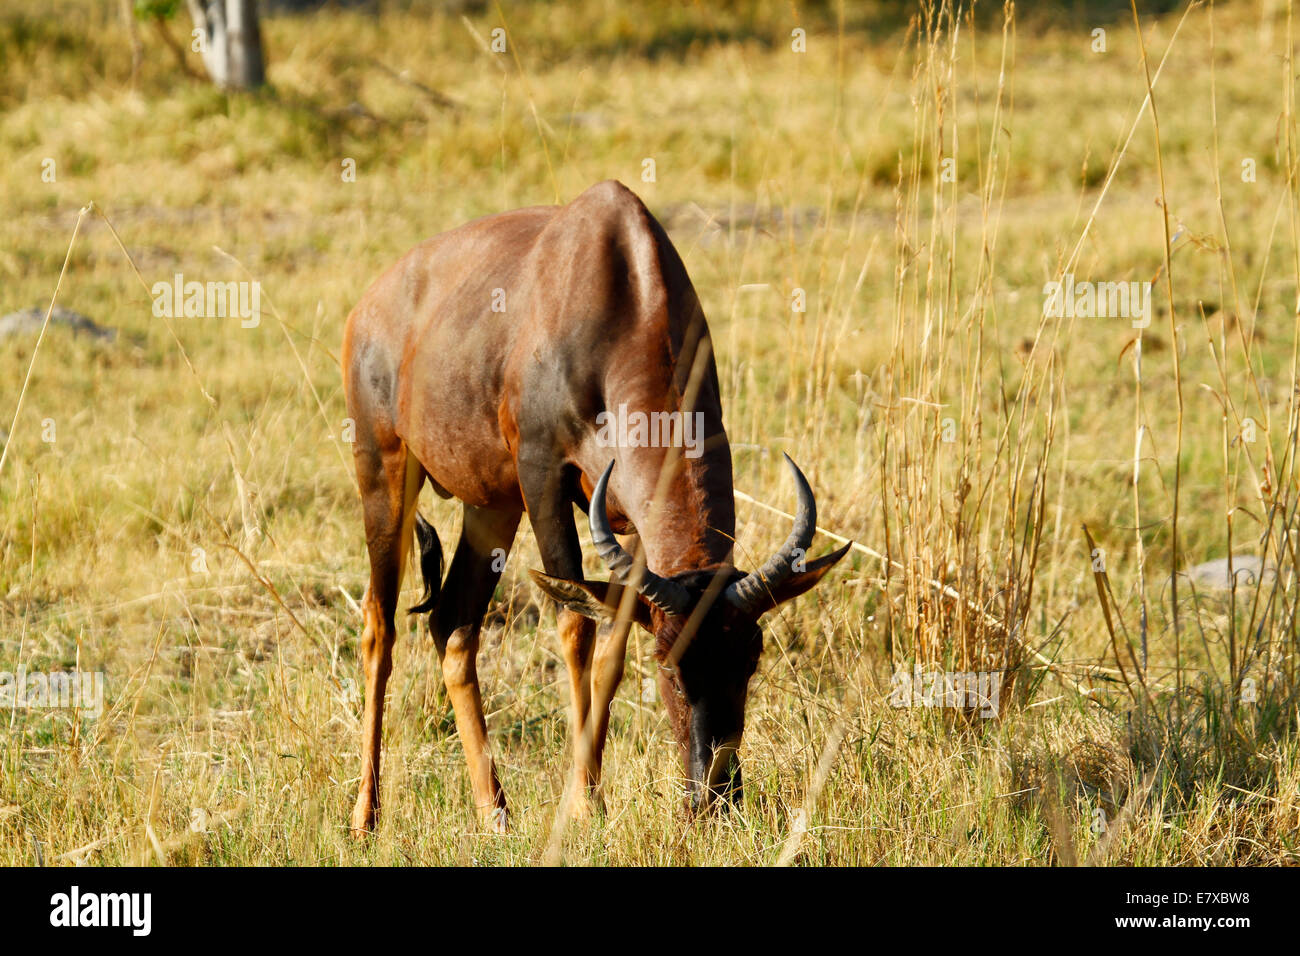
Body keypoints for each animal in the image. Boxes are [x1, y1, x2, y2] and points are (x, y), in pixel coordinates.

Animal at [341, 179, 849, 835]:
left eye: (751, 658)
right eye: (669, 665)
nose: (715, 801)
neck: (617, 285)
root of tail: (371, 302)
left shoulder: (628, 520)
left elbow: (611, 642)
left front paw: (586, 796)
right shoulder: (543, 475)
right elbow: (574, 624)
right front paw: (585, 805)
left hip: (491, 503)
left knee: (451, 624)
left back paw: (495, 812)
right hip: (384, 468)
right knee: (379, 626)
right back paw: (365, 817)